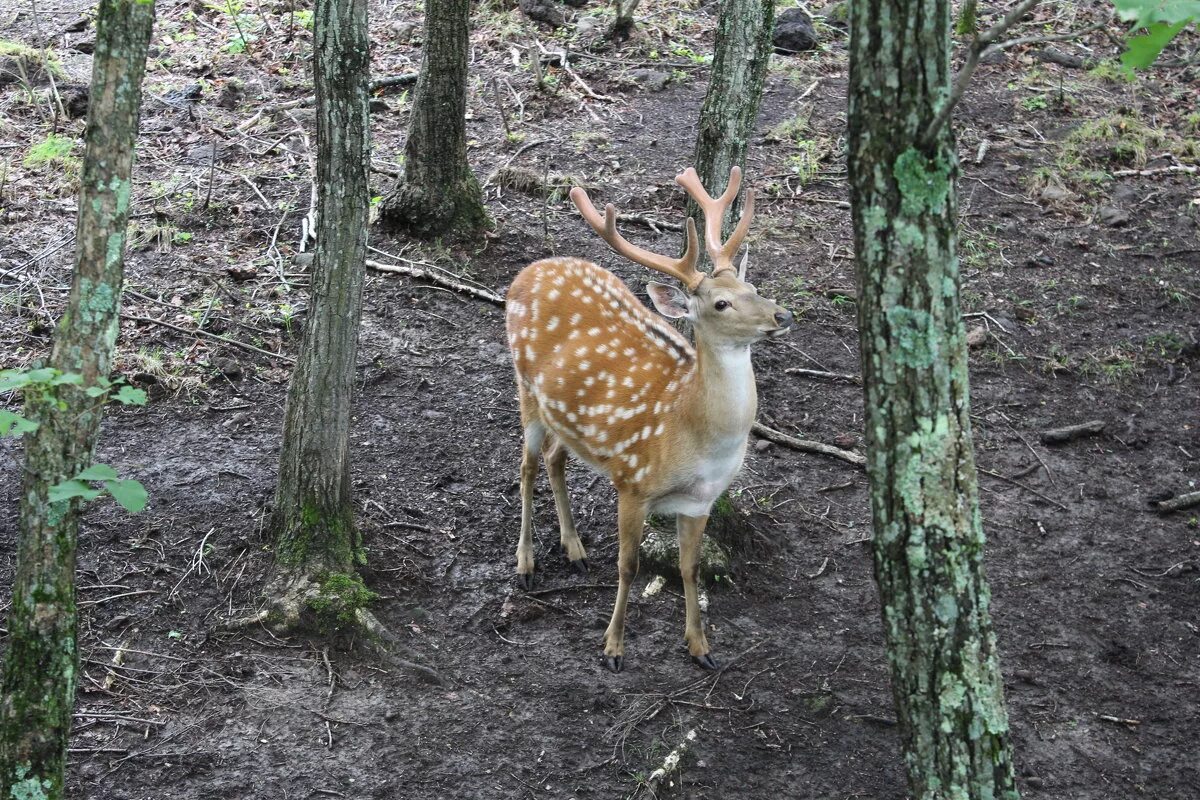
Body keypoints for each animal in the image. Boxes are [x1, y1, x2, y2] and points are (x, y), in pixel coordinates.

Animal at [504, 165, 792, 671]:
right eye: (720, 303)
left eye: (752, 289)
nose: (783, 315)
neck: (693, 440)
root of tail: (529, 270)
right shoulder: (631, 481)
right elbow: (629, 566)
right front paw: (613, 647)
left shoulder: (700, 500)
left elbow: (689, 568)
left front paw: (700, 646)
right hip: (526, 389)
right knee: (527, 466)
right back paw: (526, 564)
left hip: (566, 417)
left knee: (557, 458)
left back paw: (575, 549)